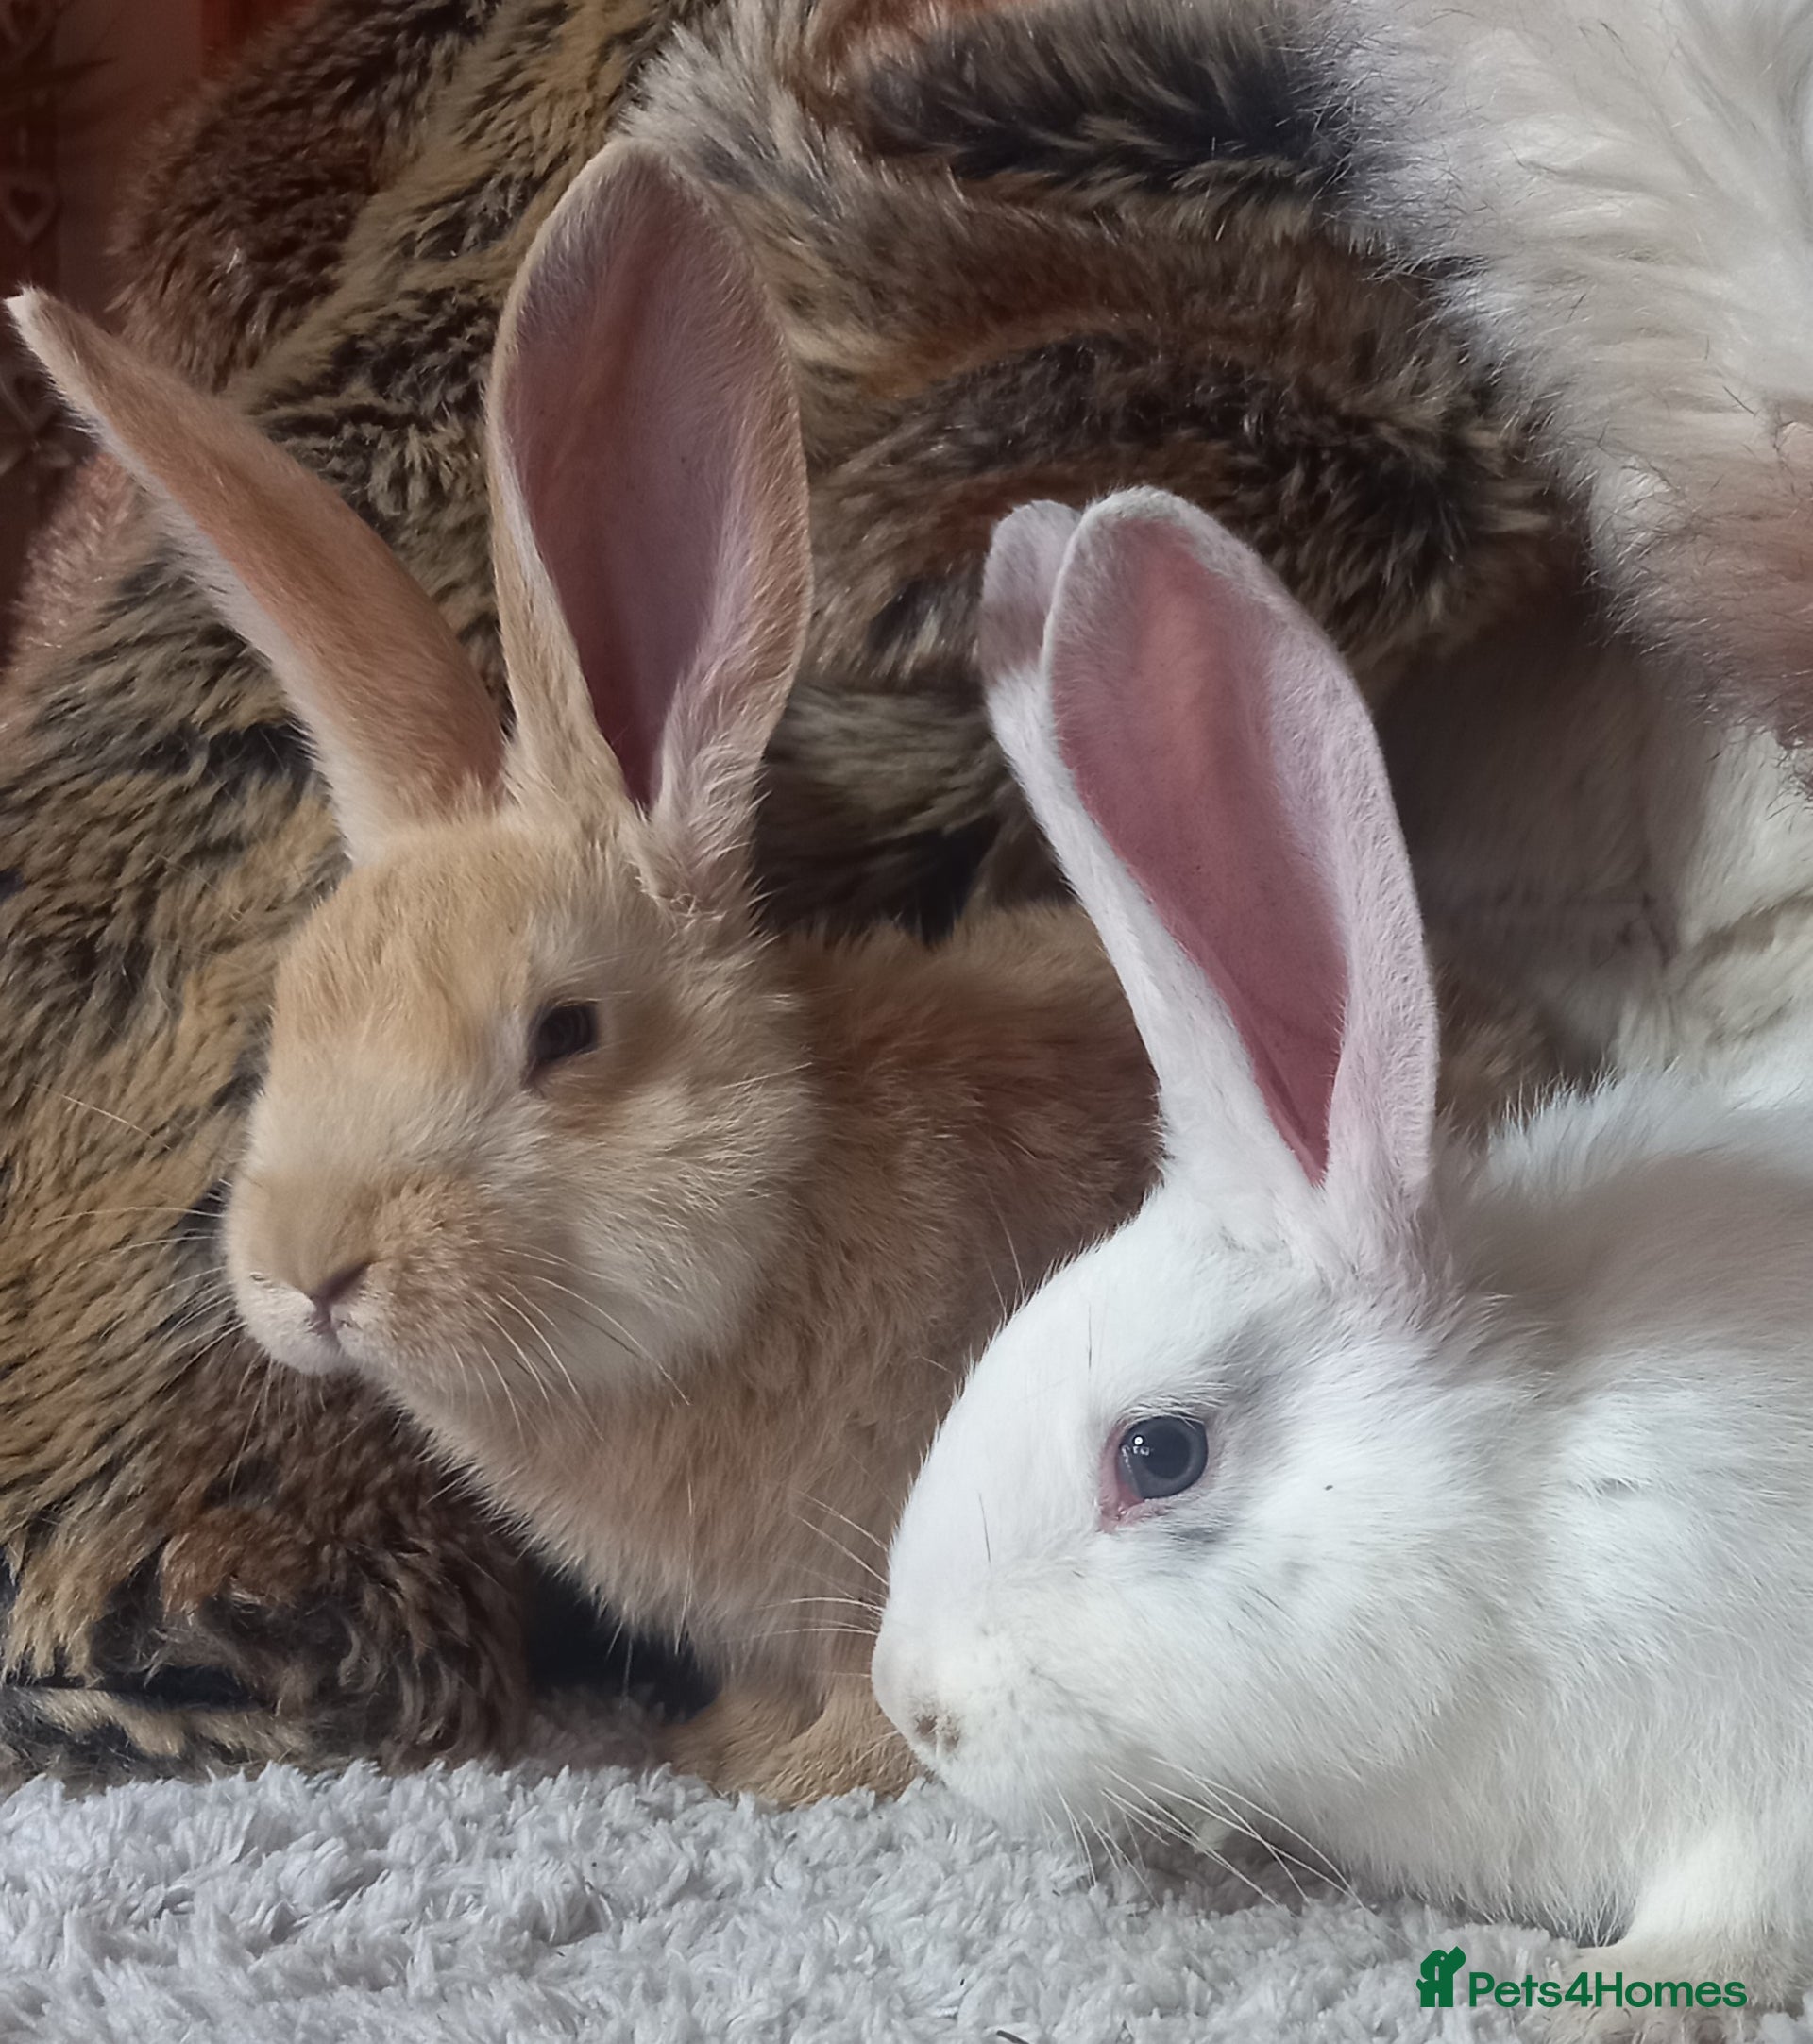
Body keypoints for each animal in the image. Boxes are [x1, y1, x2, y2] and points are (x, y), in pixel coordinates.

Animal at [11, 139, 1162, 1804]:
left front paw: (791, 1779)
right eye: (292, 1014)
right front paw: (722, 1746)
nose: (308, 1273)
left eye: (565, 1033)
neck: (774, 1216)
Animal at [873, 487, 1813, 2034]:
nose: (917, 1710)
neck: (1516, 1510)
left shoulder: (1763, 1759)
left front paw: (1607, 1993)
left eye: (1160, 1455)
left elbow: (1733, 1918)